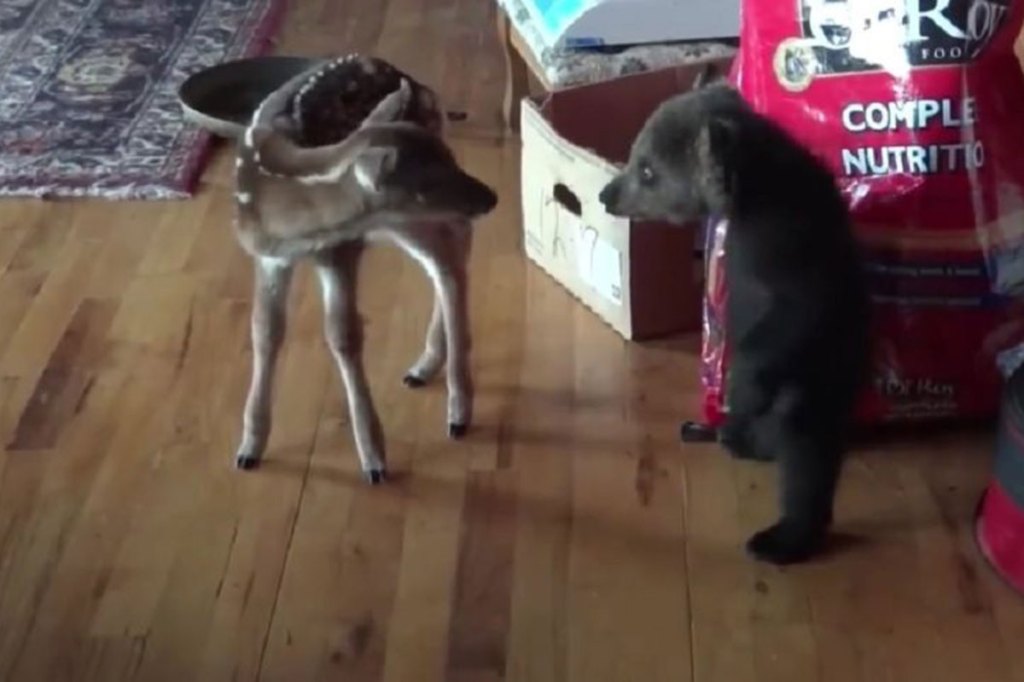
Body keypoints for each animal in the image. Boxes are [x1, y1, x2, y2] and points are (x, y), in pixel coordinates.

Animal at [217, 55, 498, 483]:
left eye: (447, 162)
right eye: (428, 183)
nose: (492, 197)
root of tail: (414, 83)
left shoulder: (342, 249)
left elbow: (342, 335)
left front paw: (374, 459)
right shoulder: (269, 257)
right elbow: (264, 330)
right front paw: (250, 448)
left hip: (395, 222)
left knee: (448, 255)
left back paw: (456, 407)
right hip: (398, 220)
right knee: (453, 243)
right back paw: (428, 367)